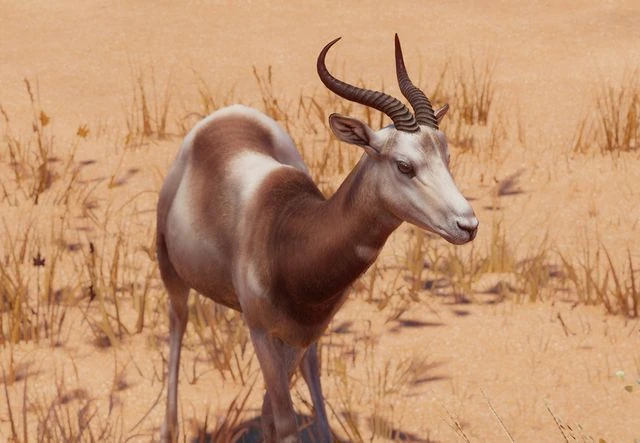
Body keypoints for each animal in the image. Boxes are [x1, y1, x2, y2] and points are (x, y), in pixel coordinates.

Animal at [157, 34, 478, 442]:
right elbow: (283, 418)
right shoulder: (261, 331)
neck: (289, 238)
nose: (467, 225)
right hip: (169, 268)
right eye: (404, 165)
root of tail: (228, 114)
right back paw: (169, 428)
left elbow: (284, 405)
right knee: (177, 322)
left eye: (447, 156)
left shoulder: (307, 330)